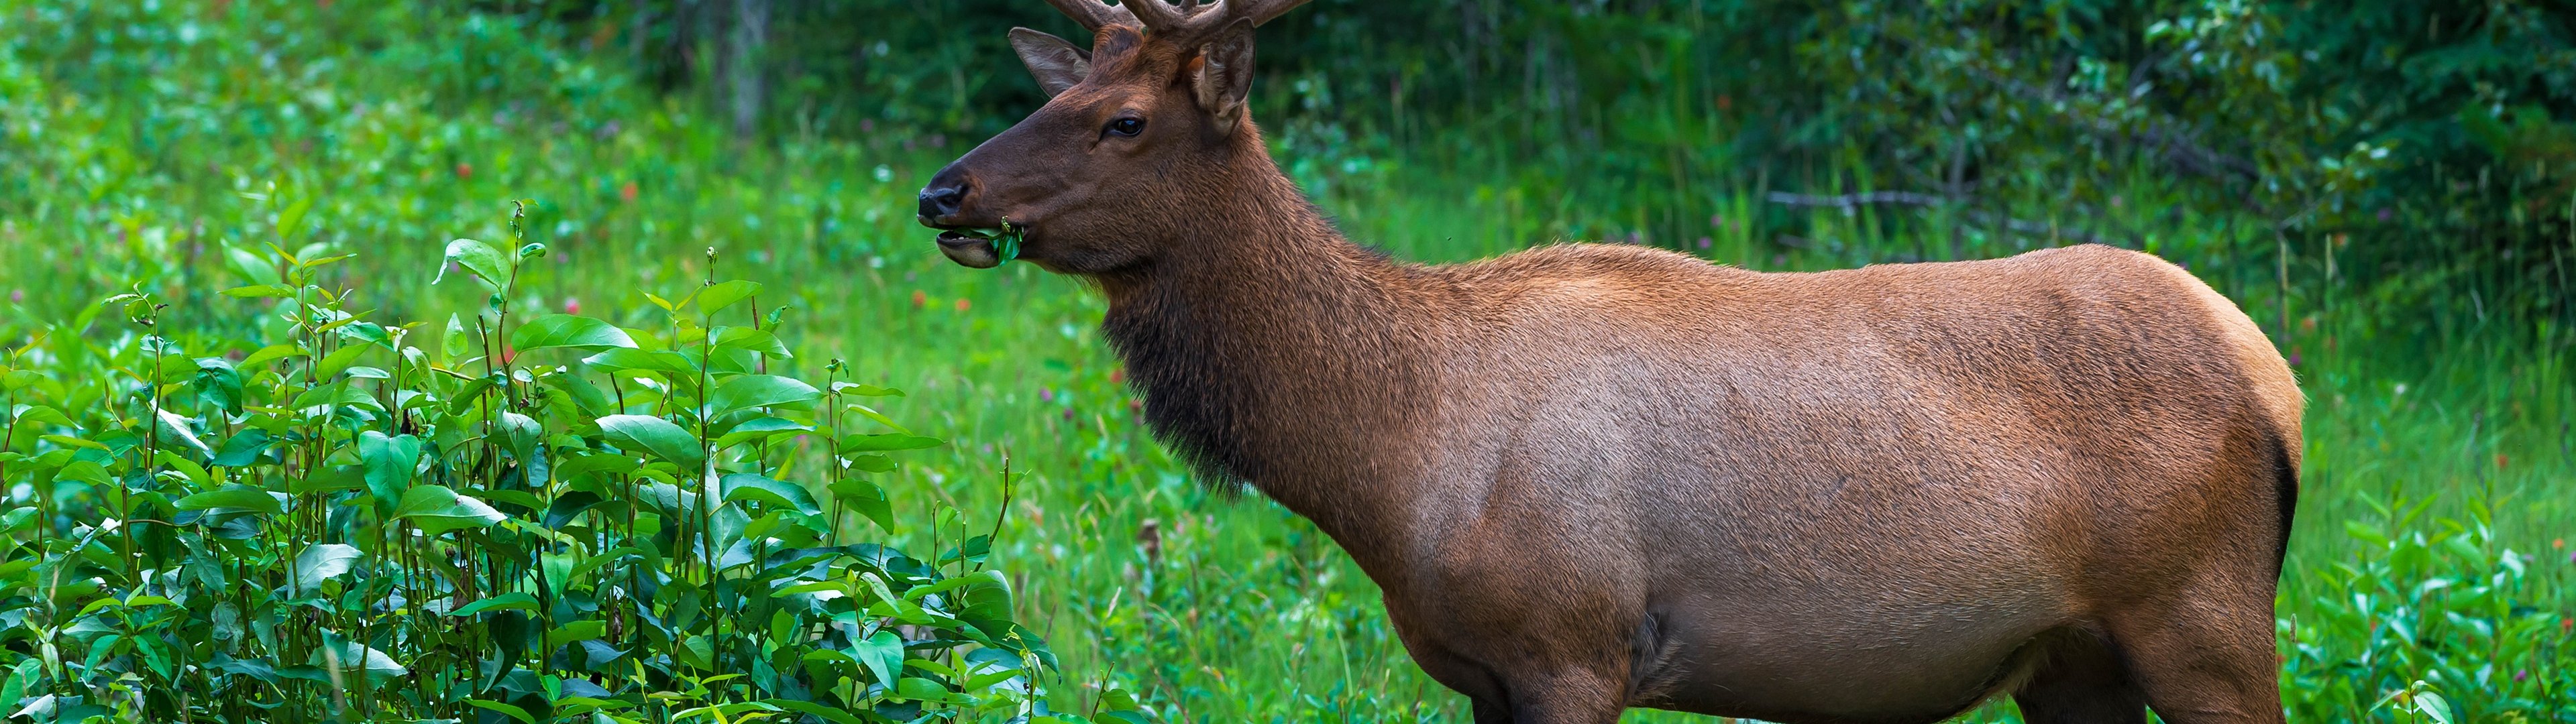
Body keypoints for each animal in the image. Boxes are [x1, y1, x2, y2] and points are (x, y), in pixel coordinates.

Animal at [915, 1, 2302, 722]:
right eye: (1049, 93)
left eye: (1123, 120)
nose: (944, 191)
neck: (1389, 466)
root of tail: (2277, 384)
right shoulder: (1480, 671)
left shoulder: (1572, 646)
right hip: (2075, 659)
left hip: (2207, 618)